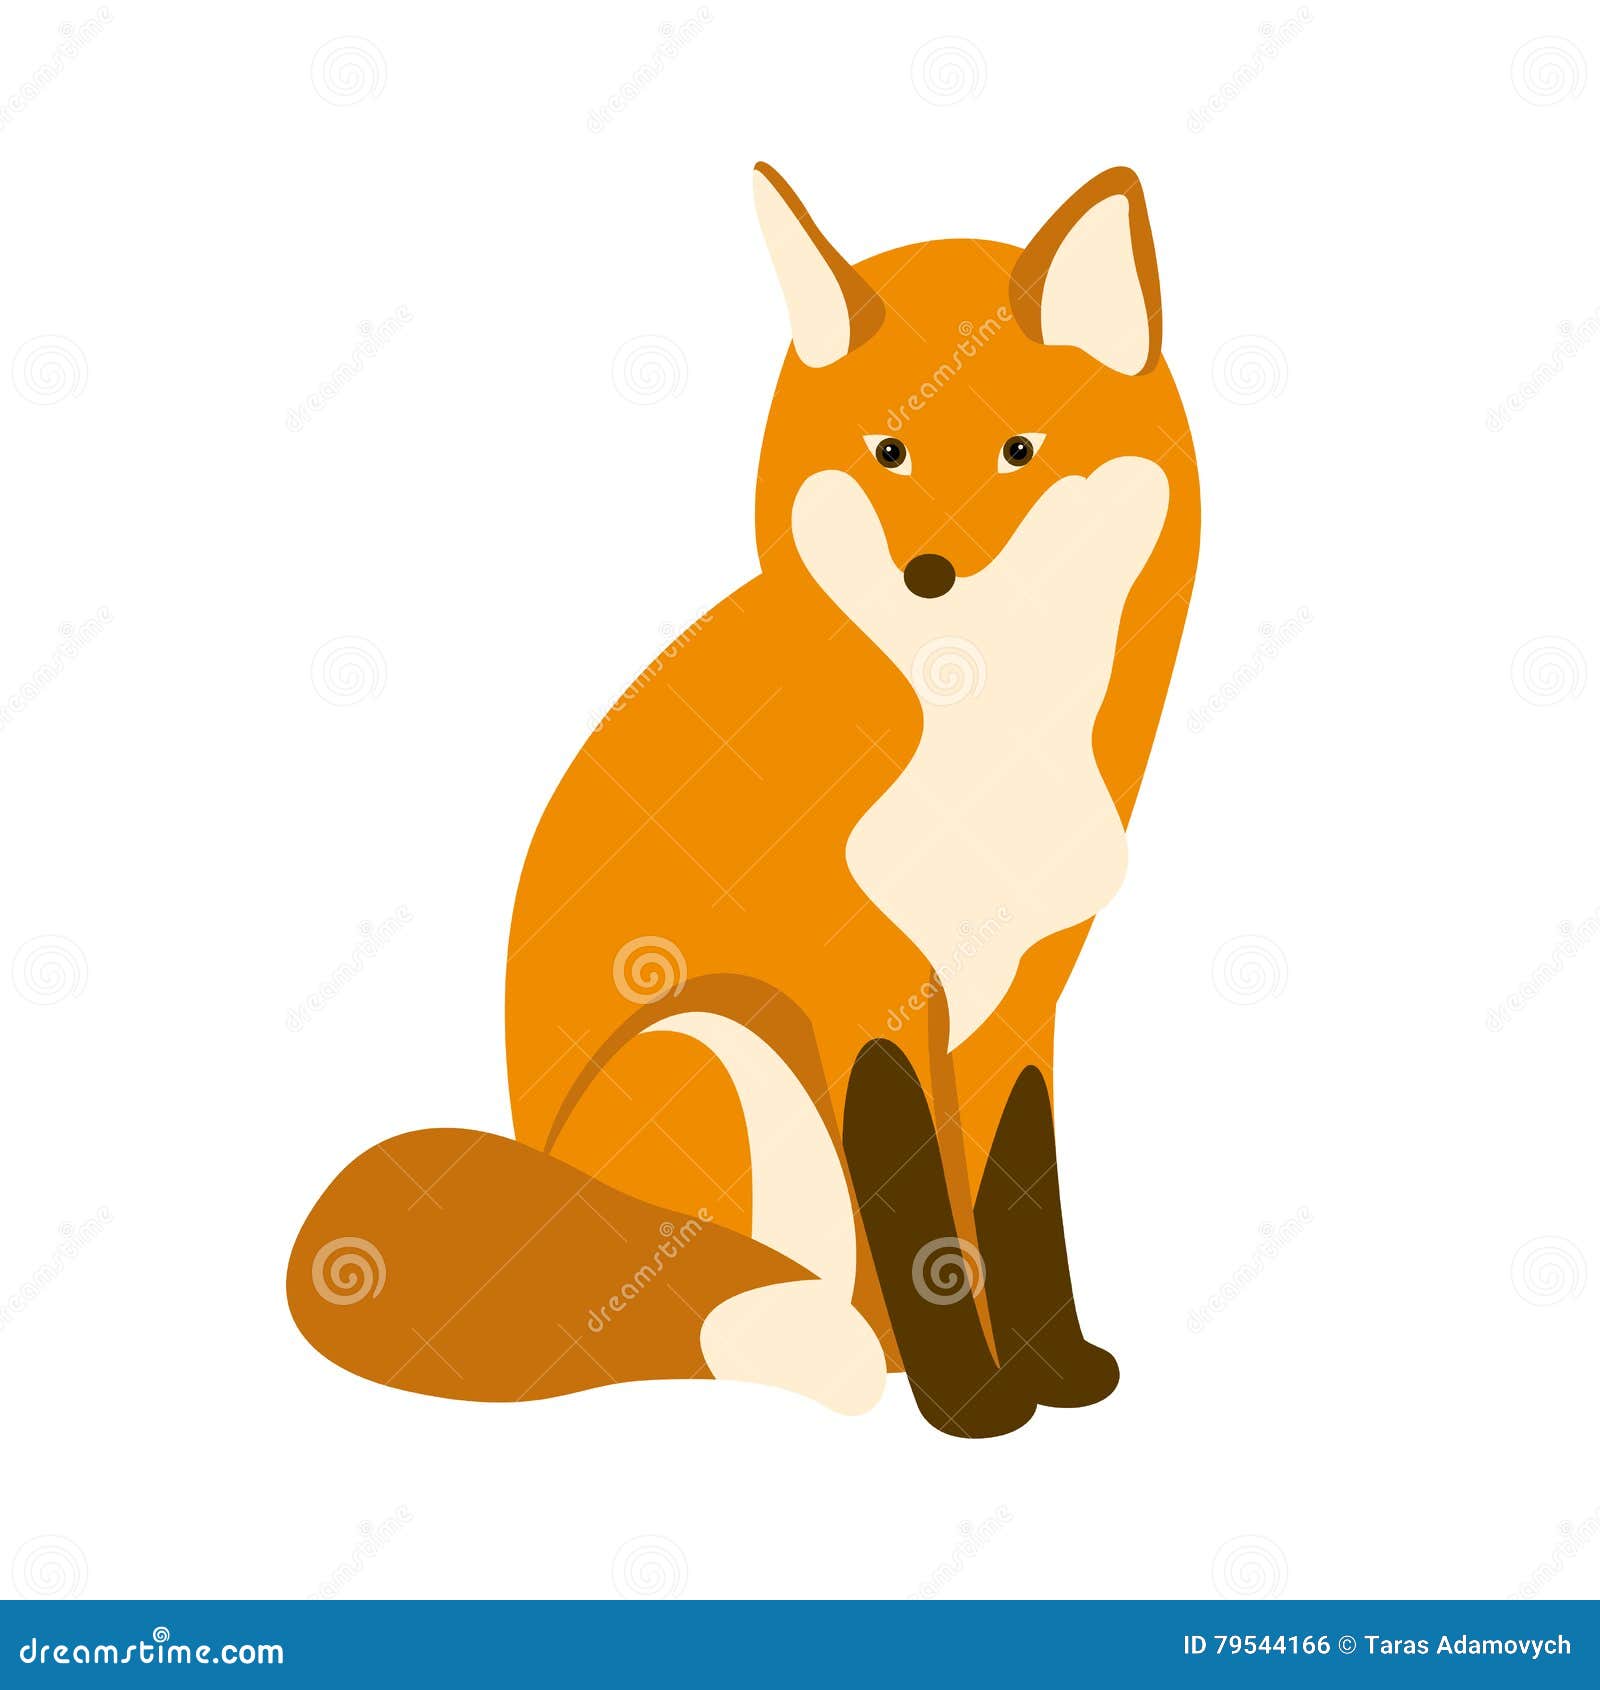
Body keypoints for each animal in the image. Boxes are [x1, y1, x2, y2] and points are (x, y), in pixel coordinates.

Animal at [288, 163, 1200, 1439]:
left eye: (1019, 448)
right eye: (887, 450)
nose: (929, 574)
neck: (983, 749)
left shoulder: (1025, 1001)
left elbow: (1019, 1206)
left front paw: (1051, 1367)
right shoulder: (862, 994)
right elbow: (928, 1230)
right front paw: (974, 1401)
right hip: (715, 1047)